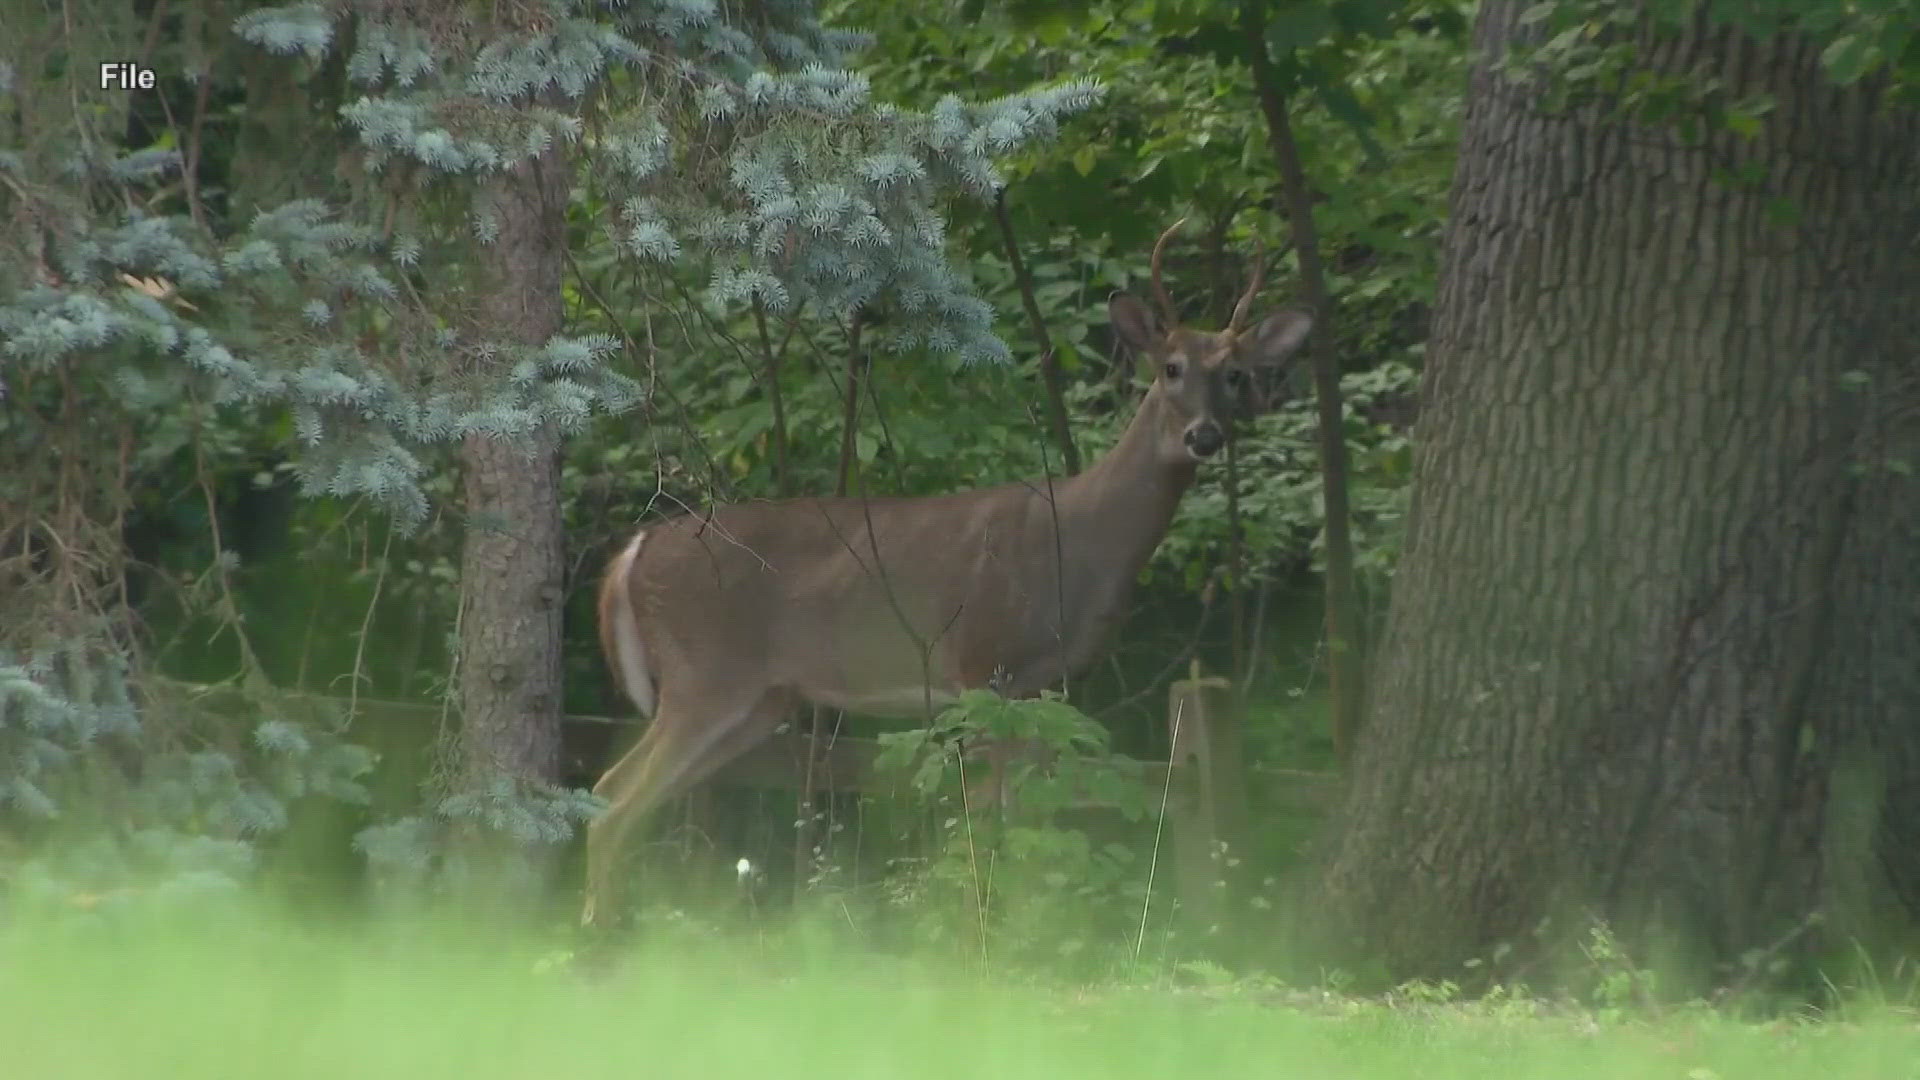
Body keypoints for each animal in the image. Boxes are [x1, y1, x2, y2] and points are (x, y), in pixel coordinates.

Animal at [582, 220, 1312, 930]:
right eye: (1171, 368)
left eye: (1236, 374)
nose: (1204, 436)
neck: (1081, 543)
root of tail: (637, 548)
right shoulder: (981, 664)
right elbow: (982, 821)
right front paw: (975, 937)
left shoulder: (1038, 685)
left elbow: (1022, 816)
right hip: (704, 674)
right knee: (614, 798)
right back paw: (600, 941)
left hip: (762, 699)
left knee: (625, 796)